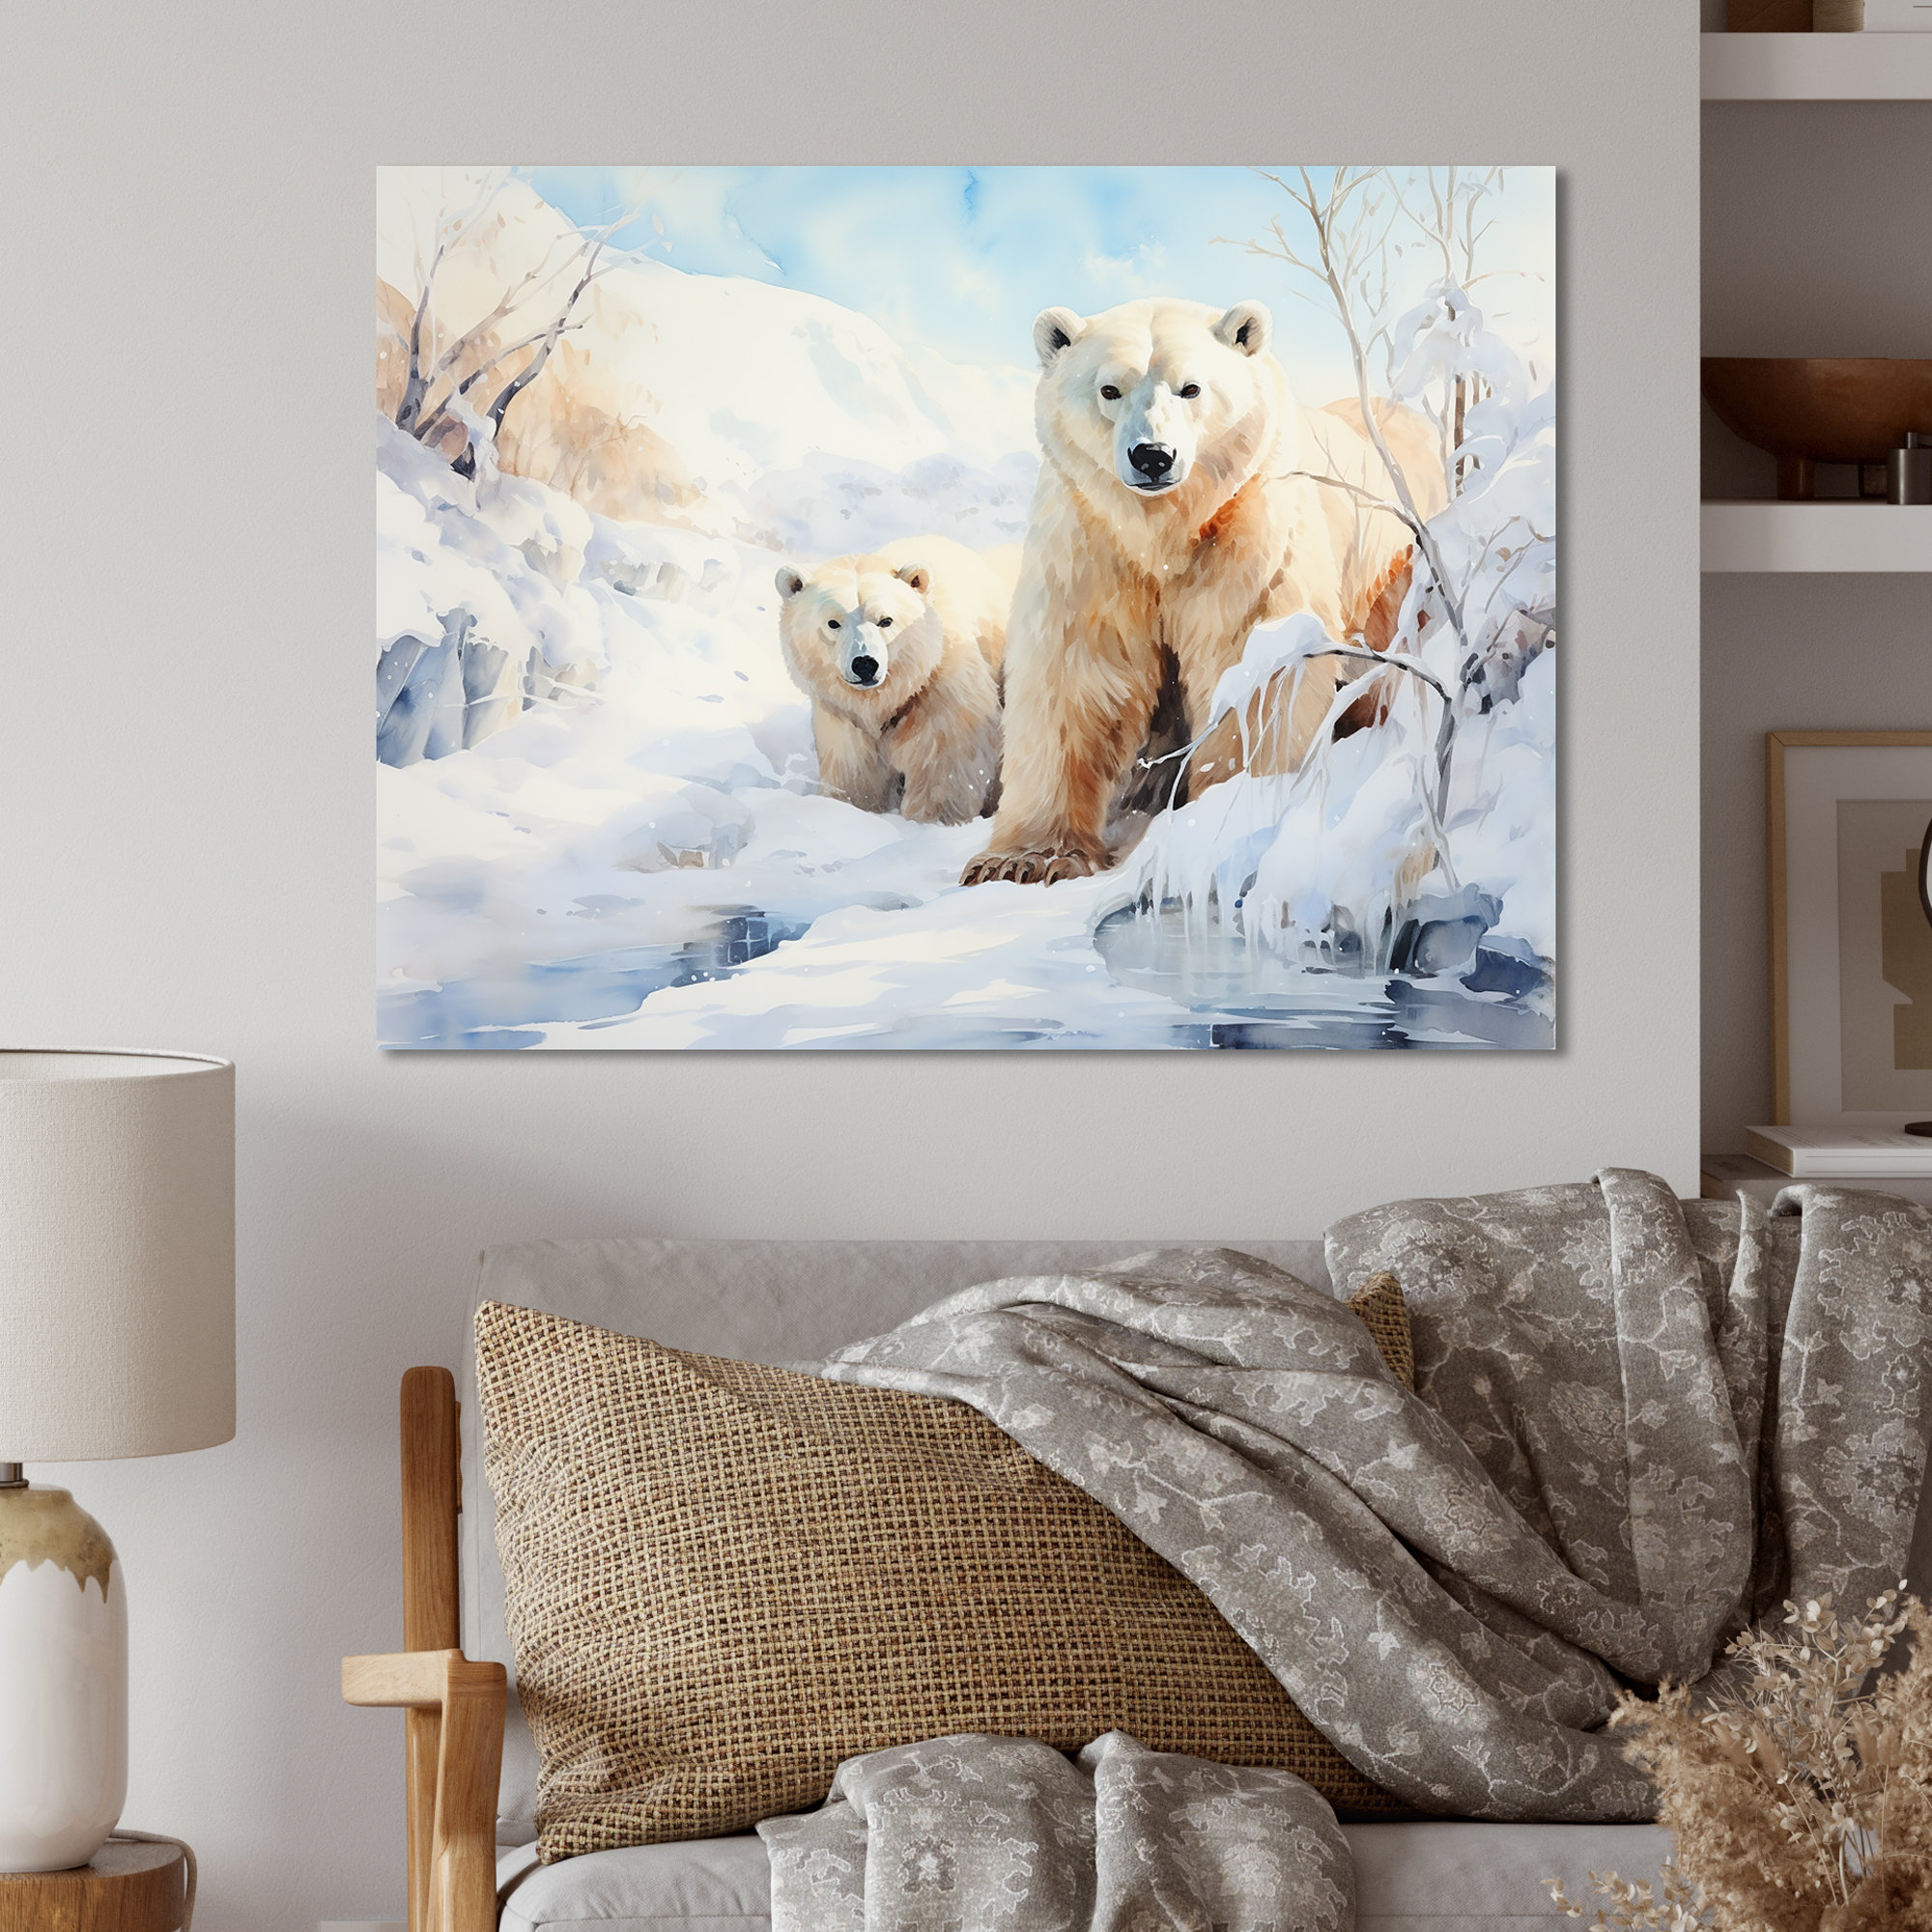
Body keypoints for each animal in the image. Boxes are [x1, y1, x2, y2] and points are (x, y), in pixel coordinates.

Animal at [776, 536, 1017, 826]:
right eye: (833, 622)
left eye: (886, 620)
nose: (865, 664)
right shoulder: (846, 719)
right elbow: (856, 770)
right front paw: (855, 809)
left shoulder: (941, 695)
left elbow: (942, 765)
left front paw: (929, 820)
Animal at [960, 296, 1448, 887]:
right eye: (1109, 389)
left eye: (1190, 388)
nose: (1152, 455)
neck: (1163, 531)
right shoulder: (1091, 544)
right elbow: (1076, 676)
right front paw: (1025, 860)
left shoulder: (1247, 528)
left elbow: (1248, 665)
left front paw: (1225, 816)